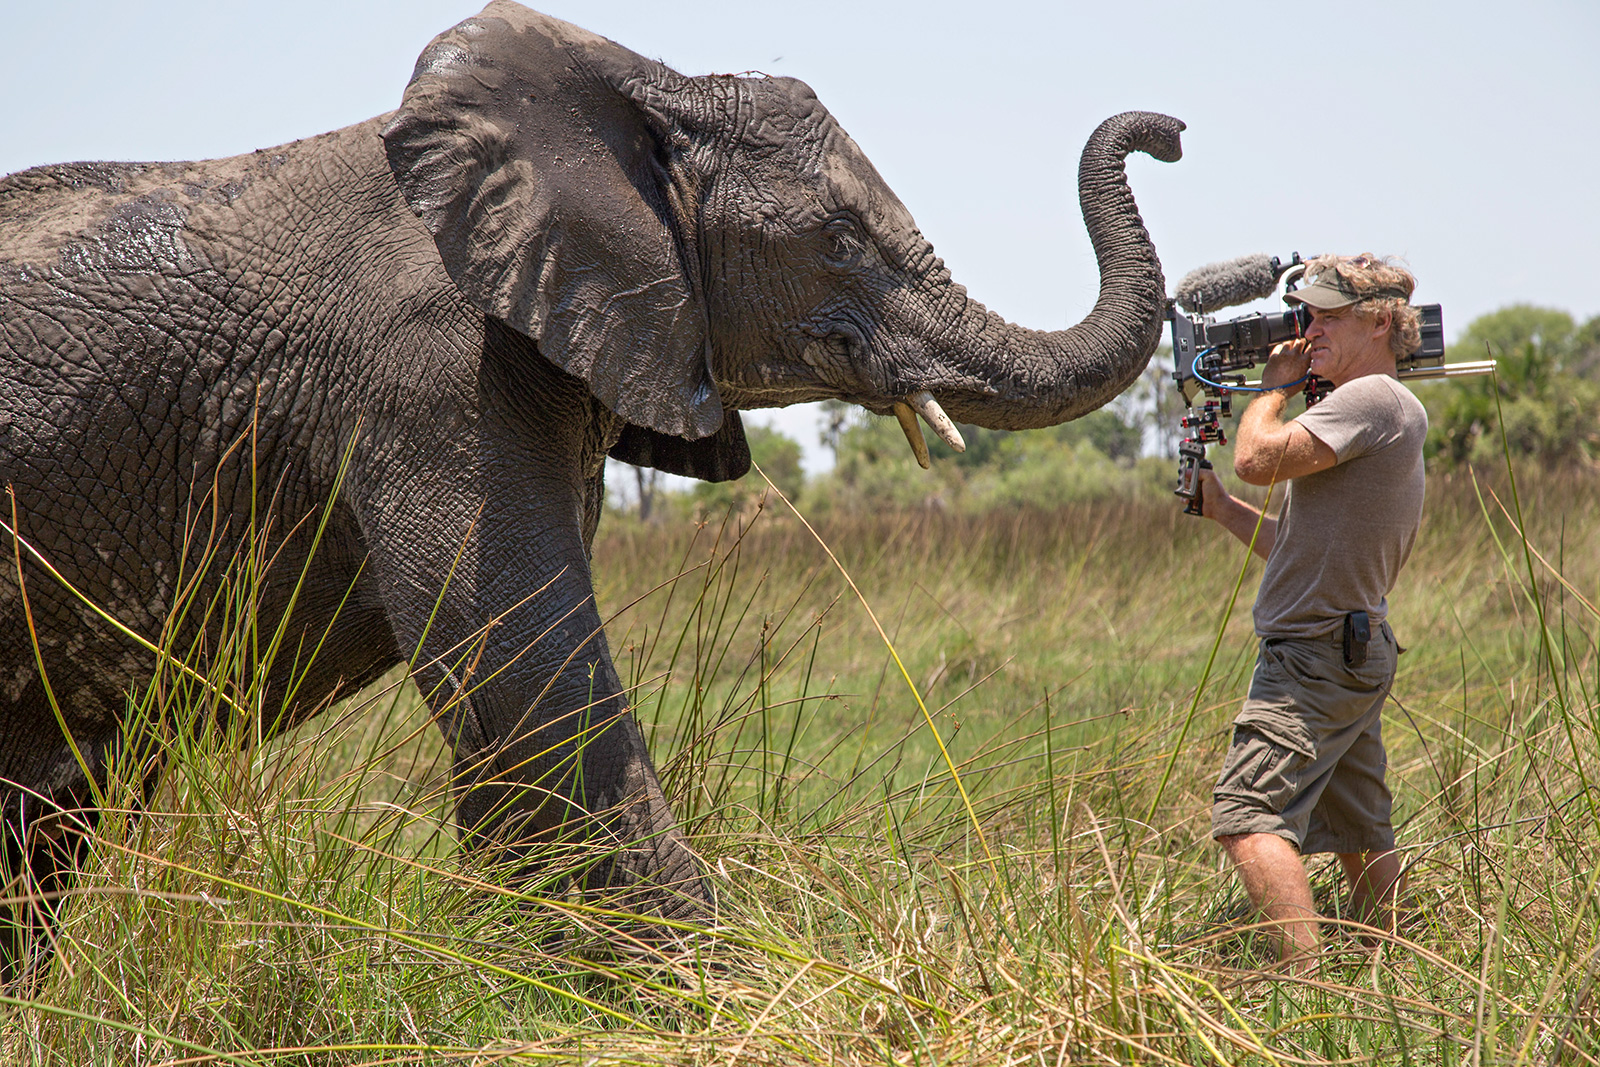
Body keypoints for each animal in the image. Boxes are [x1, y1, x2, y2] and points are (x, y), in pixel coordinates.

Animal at [0, 0, 1182, 972]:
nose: (1168, 131)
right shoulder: (429, 372)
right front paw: (743, 1000)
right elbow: (534, 684)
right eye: (837, 238)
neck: (643, 88)